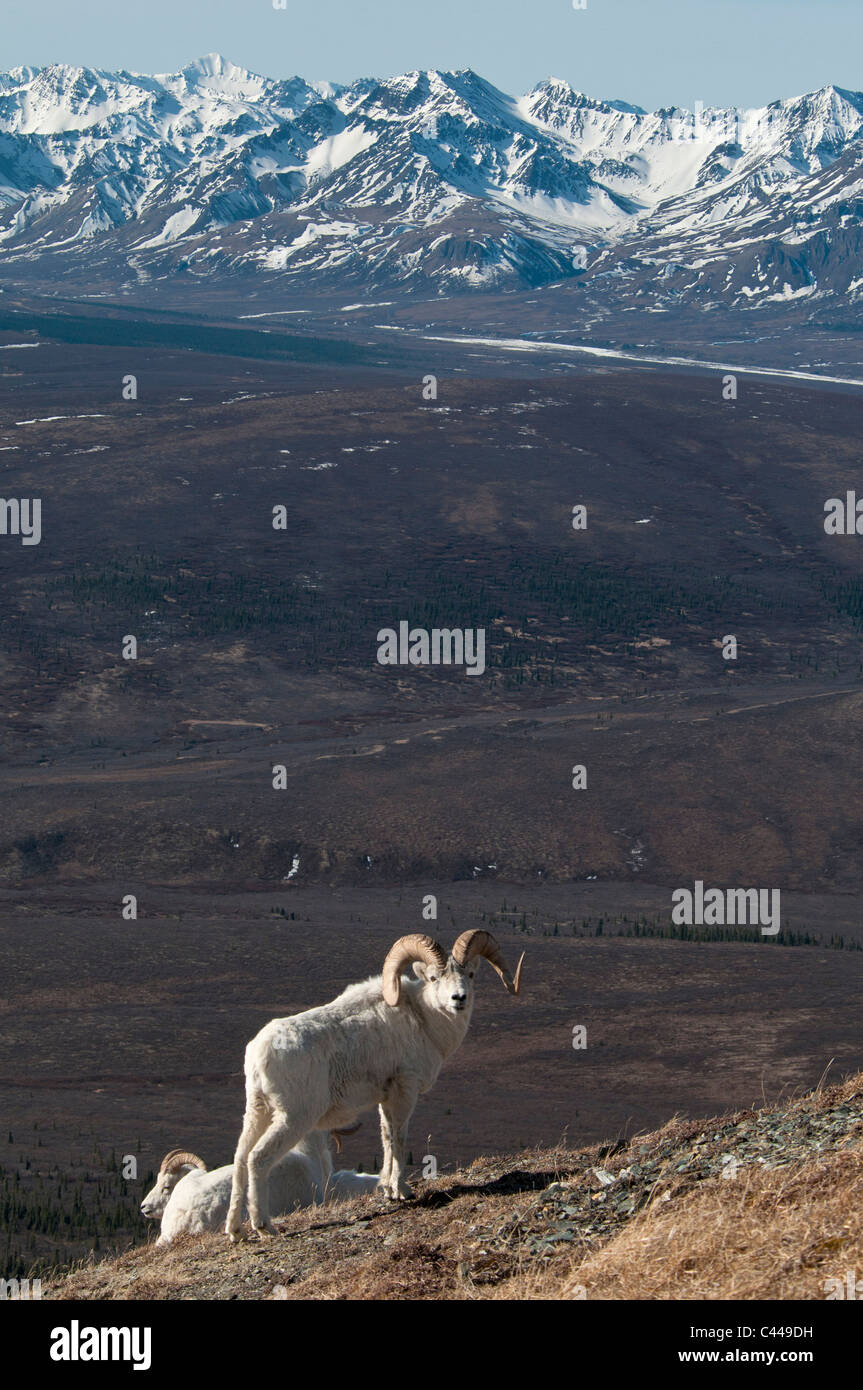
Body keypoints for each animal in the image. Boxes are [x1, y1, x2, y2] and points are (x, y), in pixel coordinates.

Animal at [226, 929, 523, 1239]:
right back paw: (264, 1226)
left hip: (258, 1112)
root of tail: (259, 1054)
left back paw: (235, 1231)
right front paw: (402, 1191)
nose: (459, 998)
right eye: (433, 978)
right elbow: (400, 1137)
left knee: (240, 1159)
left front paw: (388, 1189)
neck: (424, 1019)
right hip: (294, 1118)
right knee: (258, 1158)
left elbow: (386, 1137)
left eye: (470, 974)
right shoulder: (405, 1091)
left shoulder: (385, 1098)